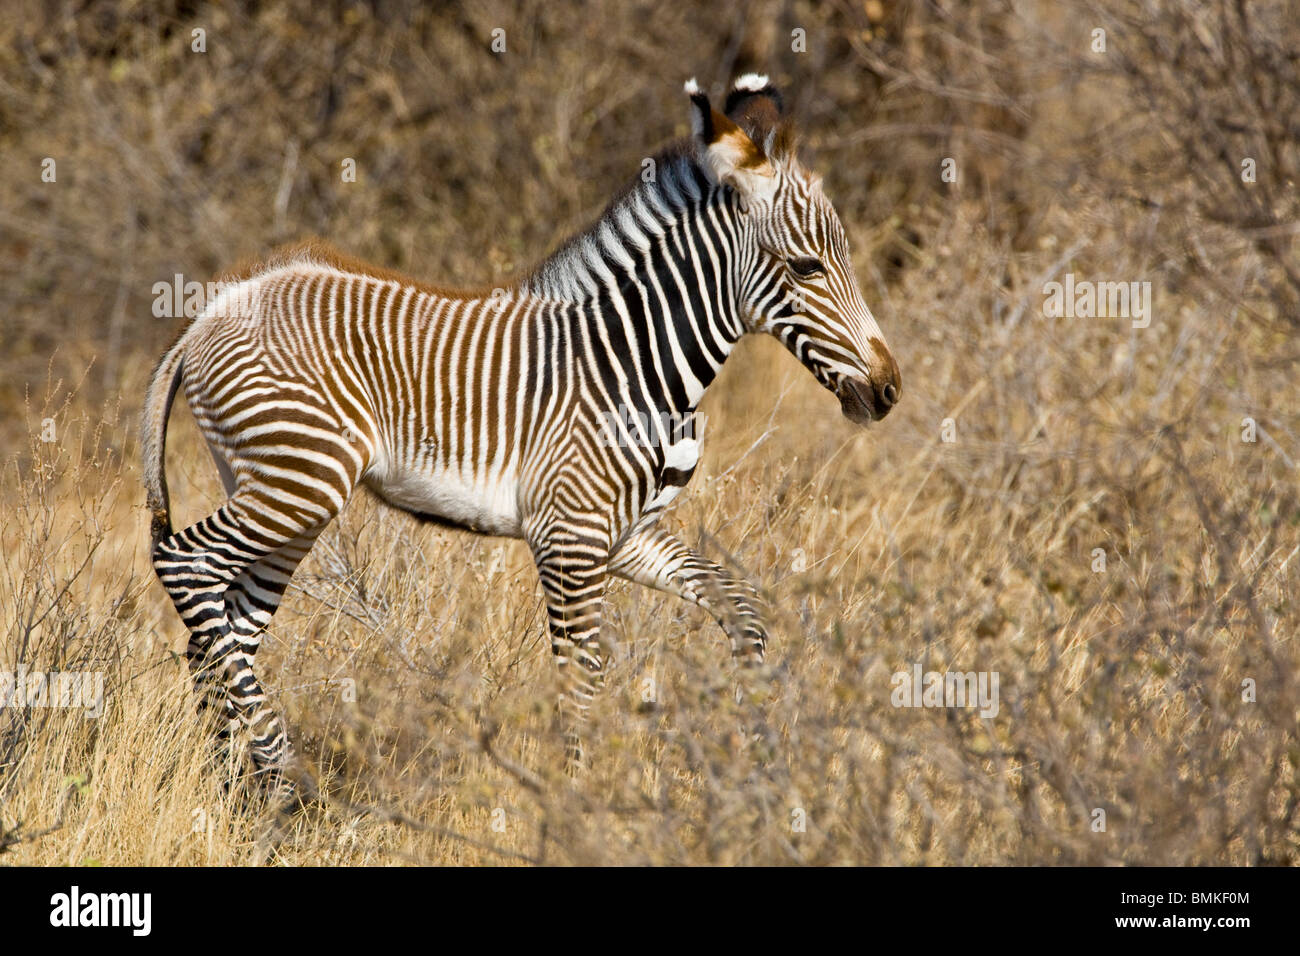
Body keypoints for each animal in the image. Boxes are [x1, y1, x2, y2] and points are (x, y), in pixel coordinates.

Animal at [141, 74, 901, 794]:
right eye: (807, 268)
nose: (888, 391)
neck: (632, 358)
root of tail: (216, 306)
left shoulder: (624, 535)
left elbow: (741, 607)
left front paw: (755, 741)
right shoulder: (571, 537)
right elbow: (582, 682)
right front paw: (576, 804)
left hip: (279, 488)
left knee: (221, 630)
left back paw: (239, 789)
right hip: (300, 478)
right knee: (185, 565)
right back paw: (278, 767)